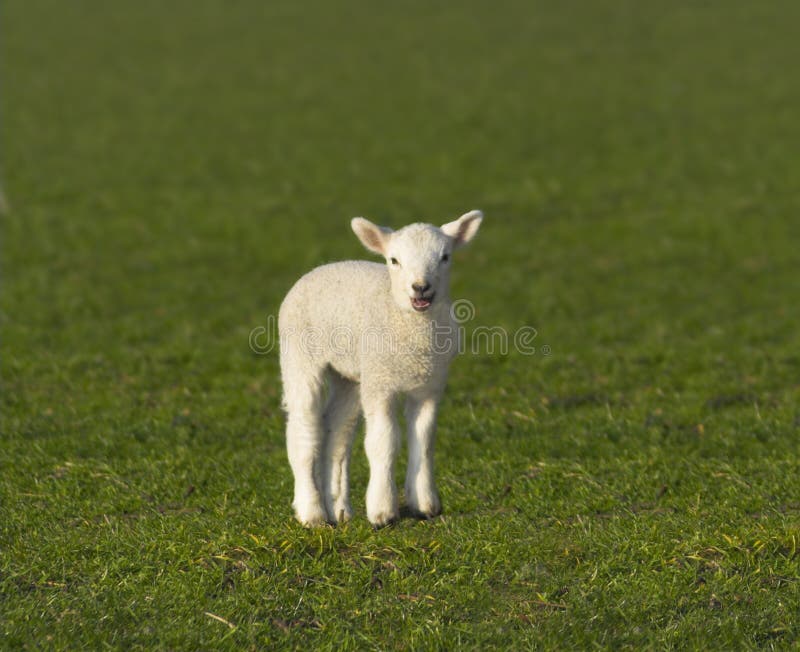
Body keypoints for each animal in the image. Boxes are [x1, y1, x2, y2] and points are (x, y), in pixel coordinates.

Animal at [278, 210, 483, 527]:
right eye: (394, 260)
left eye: (445, 257)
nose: (420, 287)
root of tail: (320, 269)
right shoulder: (380, 382)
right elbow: (384, 441)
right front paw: (382, 511)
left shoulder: (430, 385)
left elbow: (424, 439)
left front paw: (425, 504)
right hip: (300, 354)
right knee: (303, 427)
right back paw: (311, 512)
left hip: (350, 374)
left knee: (338, 430)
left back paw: (339, 509)